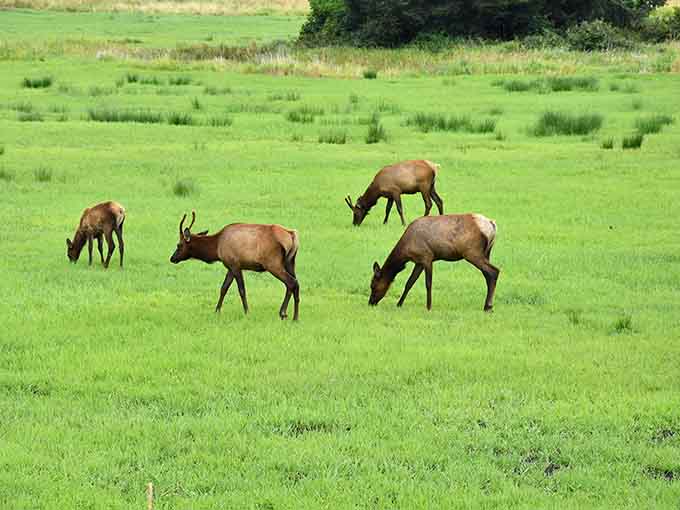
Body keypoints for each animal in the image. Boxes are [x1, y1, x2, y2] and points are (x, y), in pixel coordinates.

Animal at [169, 211, 300, 320]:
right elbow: (223, 288)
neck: (216, 247)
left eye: (179, 245)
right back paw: (294, 316)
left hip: (272, 263)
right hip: (290, 262)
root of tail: (292, 235)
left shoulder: (235, 265)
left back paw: (284, 314)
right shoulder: (230, 267)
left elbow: (241, 290)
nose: (172, 258)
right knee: (296, 283)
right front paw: (217, 311)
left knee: (291, 282)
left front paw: (247, 312)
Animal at [368, 214, 499, 311]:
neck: (406, 252)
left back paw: (487, 307)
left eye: (373, 285)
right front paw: (399, 304)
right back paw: (488, 306)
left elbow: (428, 284)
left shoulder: (427, 257)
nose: (371, 302)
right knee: (488, 275)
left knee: (494, 271)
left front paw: (429, 307)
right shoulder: (419, 262)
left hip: (472, 252)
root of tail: (492, 225)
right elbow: (409, 282)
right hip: (486, 252)